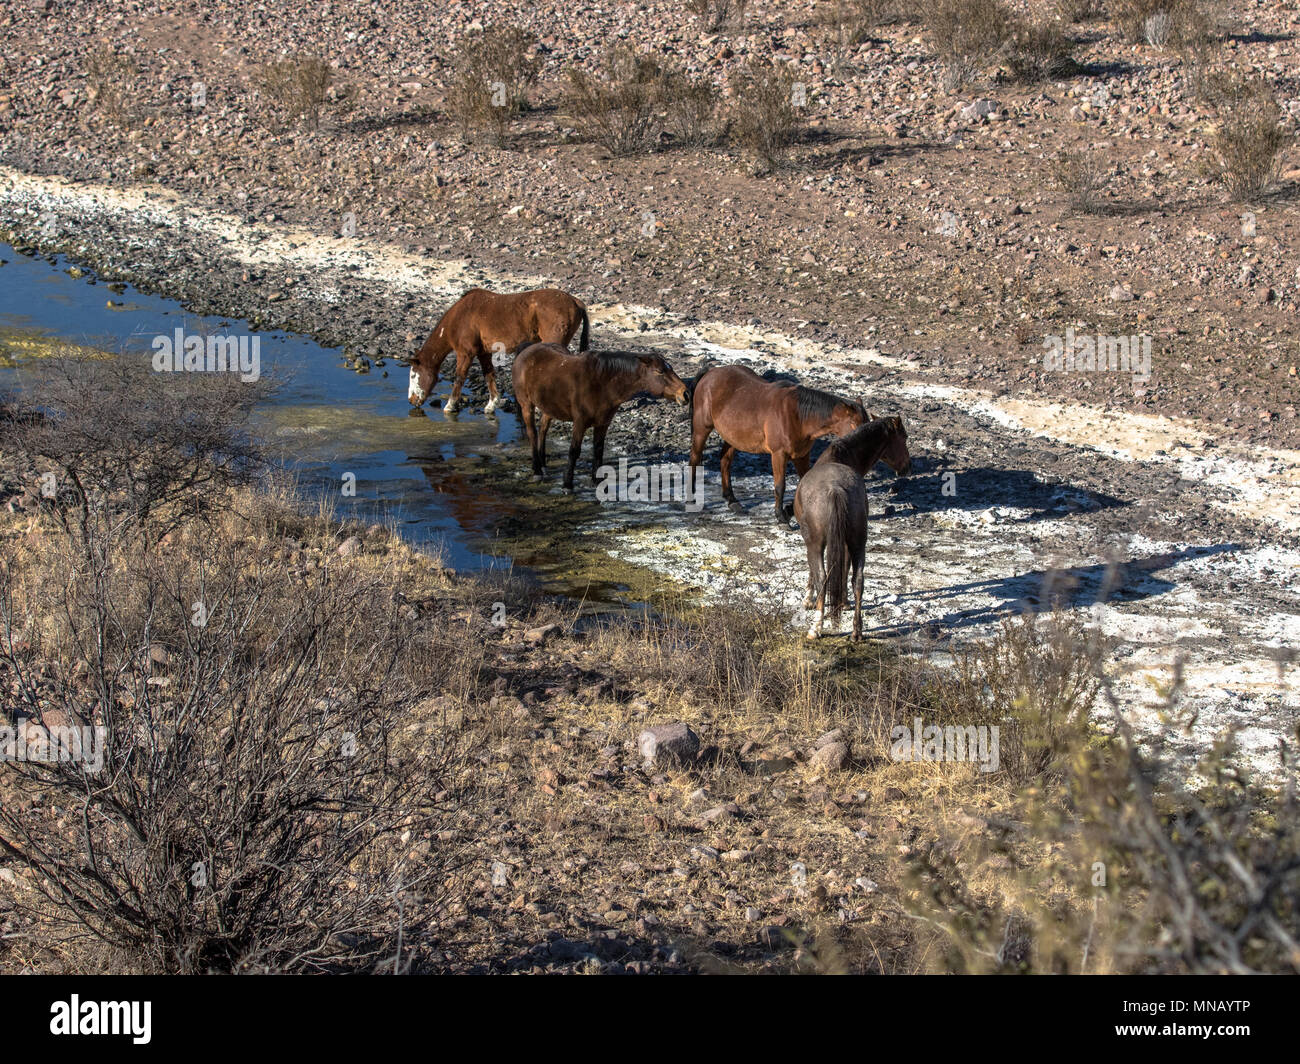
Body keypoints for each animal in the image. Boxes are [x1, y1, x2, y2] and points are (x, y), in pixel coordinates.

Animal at [404, 288, 589, 414]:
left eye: (413, 375)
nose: (411, 400)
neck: (459, 318)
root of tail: (575, 301)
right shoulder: (483, 353)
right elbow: (489, 375)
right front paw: (492, 404)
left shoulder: (465, 353)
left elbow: (459, 377)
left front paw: (450, 405)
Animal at [512, 344, 690, 491]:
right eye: (660, 371)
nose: (685, 393)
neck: (601, 383)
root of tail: (525, 352)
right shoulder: (580, 423)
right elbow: (574, 451)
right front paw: (567, 485)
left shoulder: (603, 423)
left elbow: (598, 451)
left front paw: (596, 481)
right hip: (526, 405)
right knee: (532, 433)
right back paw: (537, 470)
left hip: (549, 408)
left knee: (543, 429)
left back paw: (543, 464)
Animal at [688, 364, 868, 524]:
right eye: (853, 424)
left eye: (867, 421)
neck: (798, 416)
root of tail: (710, 372)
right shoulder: (779, 454)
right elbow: (780, 486)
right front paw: (781, 516)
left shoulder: (801, 455)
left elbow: (804, 481)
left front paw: (789, 511)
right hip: (702, 429)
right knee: (695, 458)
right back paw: (690, 497)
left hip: (733, 436)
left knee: (725, 461)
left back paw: (732, 500)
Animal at [793, 415, 911, 642]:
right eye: (904, 437)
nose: (907, 467)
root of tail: (835, 489)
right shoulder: (847, 543)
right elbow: (845, 569)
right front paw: (844, 602)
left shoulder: (812, 543)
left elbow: (814, 573)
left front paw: (808, 599)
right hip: (858, 543)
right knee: (858, 580)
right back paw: (857, 632)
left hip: (816, 544)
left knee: (823, 576)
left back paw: (816, 628)